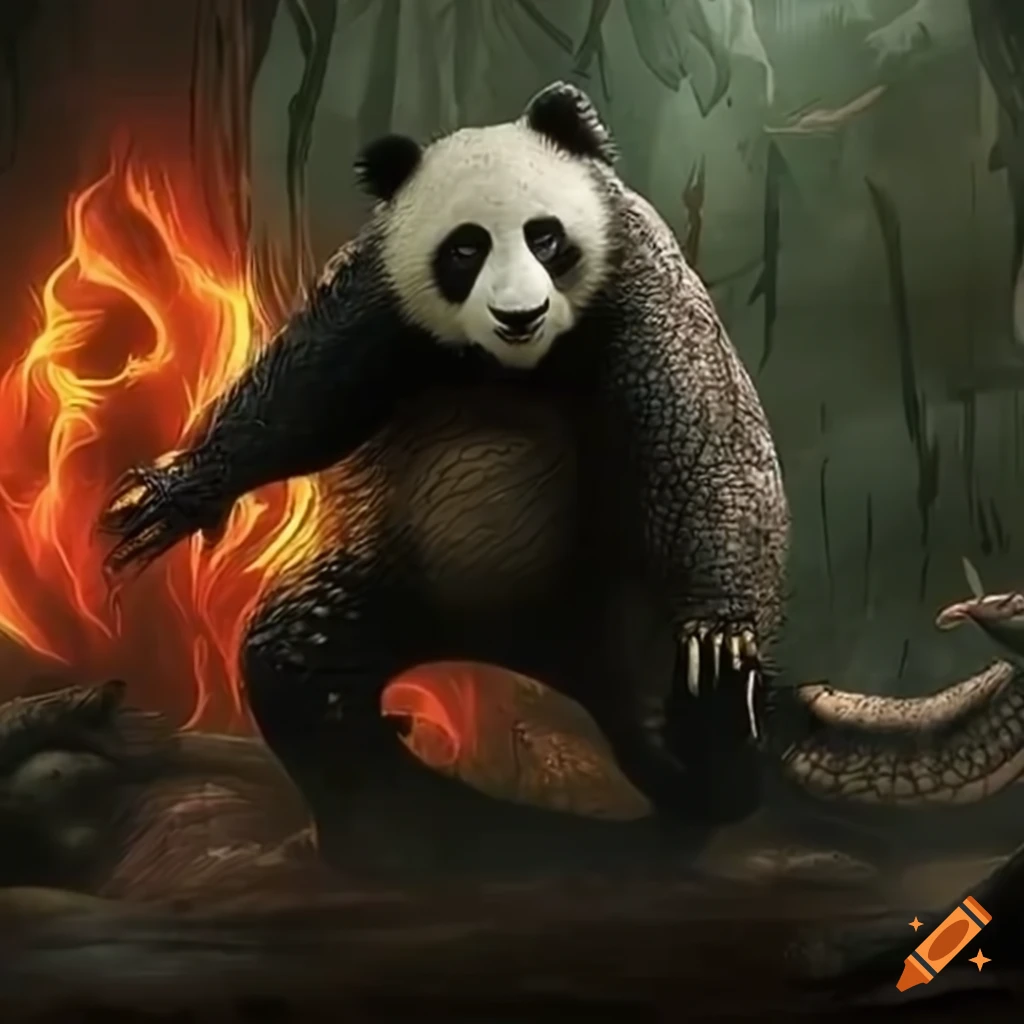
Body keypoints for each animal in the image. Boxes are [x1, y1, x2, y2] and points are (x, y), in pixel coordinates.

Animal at [98, 82, 790, 875]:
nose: (520, 315)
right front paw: (164, 498)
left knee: (675, 705)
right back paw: (401, 827)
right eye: (465, 248)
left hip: (624, 595)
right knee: (300, 669)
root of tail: (545, 651)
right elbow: (302, 399)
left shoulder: (639, 283)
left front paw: (722, 635)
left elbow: (701, 431)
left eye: (545, 237)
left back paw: (713, 735)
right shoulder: (379, 292)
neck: (517, 365)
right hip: (401, 577)